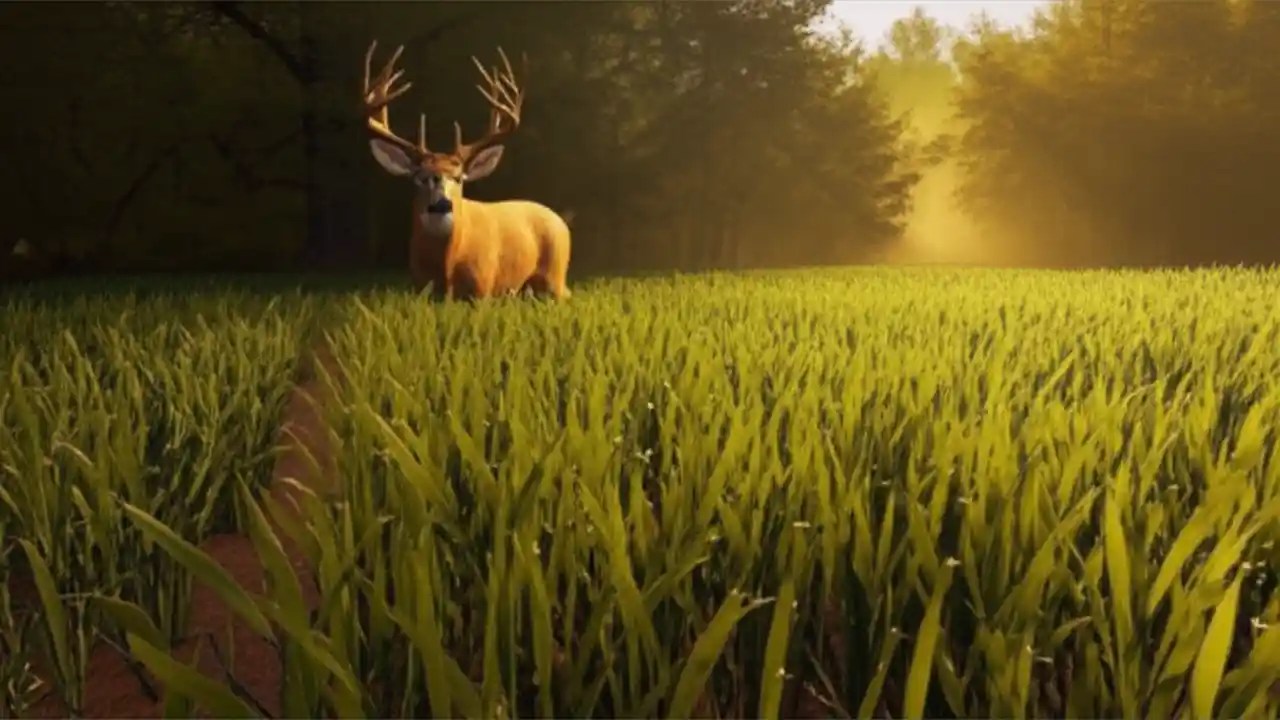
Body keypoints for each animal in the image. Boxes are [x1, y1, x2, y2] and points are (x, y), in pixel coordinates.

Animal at [361, 41, 572, 301]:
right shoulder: (419, 286)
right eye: (419, 178)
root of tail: (560, 221)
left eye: (459, 178)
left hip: (555, 272)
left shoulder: (483, 285)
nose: (442, 204)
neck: (447, 269)